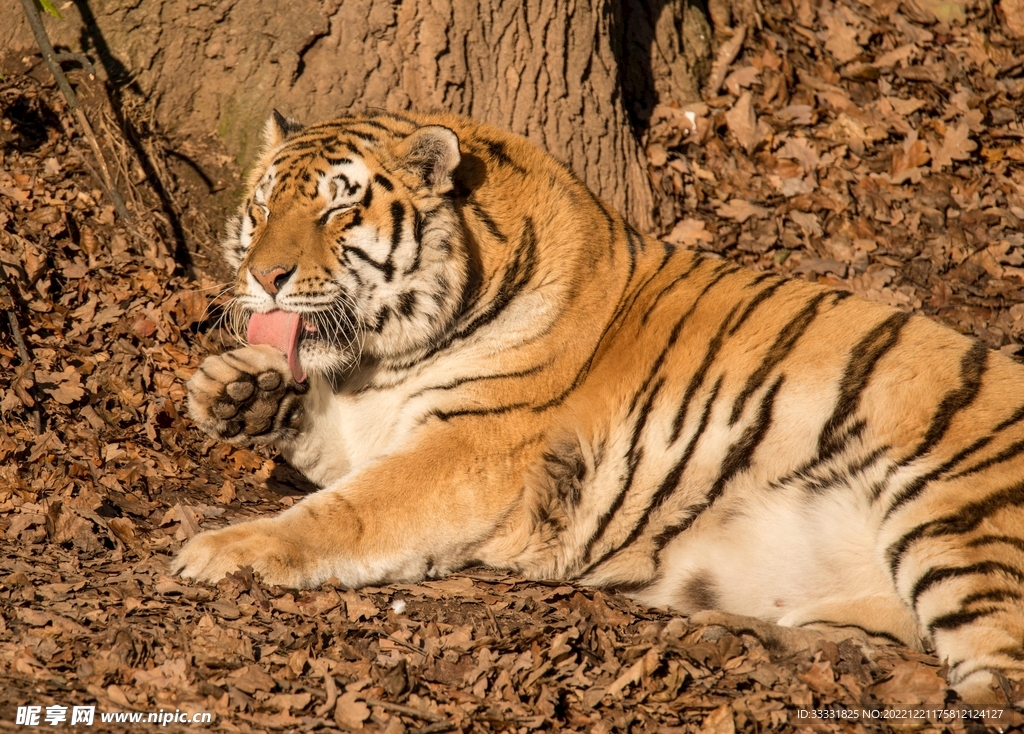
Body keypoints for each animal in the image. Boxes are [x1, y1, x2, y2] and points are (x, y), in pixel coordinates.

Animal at [173, 109, 1024, 705]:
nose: (264, 278)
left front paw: (220, 552)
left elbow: (346, 511)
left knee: (1001, 681)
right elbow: (321, 442)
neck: (381, 360)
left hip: (958, 517)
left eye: (336, 213)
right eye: (260, 210)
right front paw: (235, 388)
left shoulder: (469, 449)